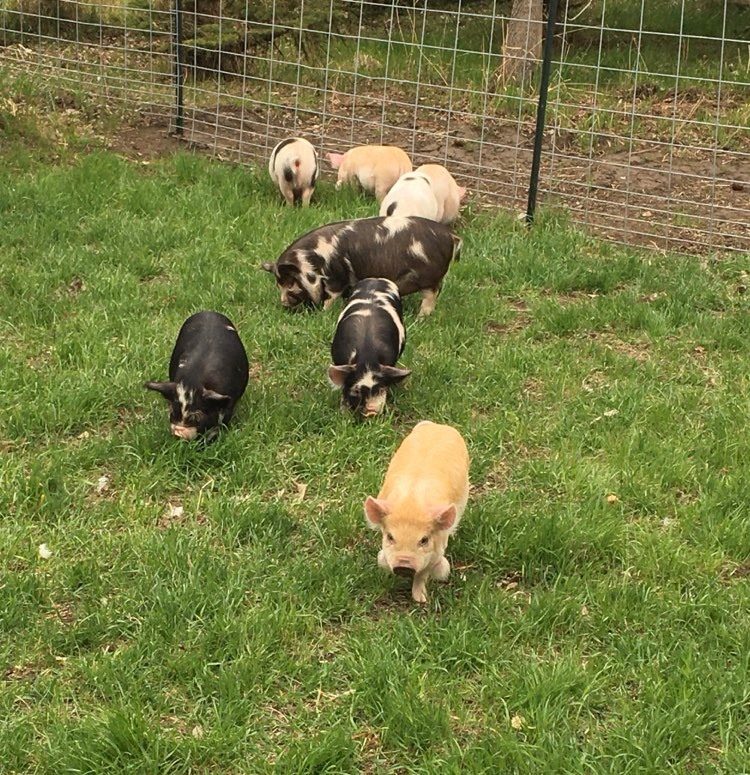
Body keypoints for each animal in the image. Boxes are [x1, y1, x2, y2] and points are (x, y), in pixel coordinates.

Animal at [261, 216, 462, 318]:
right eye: (278, 284)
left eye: (290, 282)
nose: (283, 303)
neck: (315, 260)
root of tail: (451, 235)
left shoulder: (336, 276)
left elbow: (330, 297)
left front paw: (324, 313)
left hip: (430, 278)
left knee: (431, 297)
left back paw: (421, 318)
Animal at [328, 278, 411, 417]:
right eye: (356, 391)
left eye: (381, 388)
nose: (372, 411)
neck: (367, 357)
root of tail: (376, 279)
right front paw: (344, 412)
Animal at [364, 420, 470, 603]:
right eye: (390, 537)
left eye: (424, 540)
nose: (404, 566)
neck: (411, 502)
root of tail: (437, 425)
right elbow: (381, 559)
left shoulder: (438, 548)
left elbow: (423, 574)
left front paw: (421, 599)